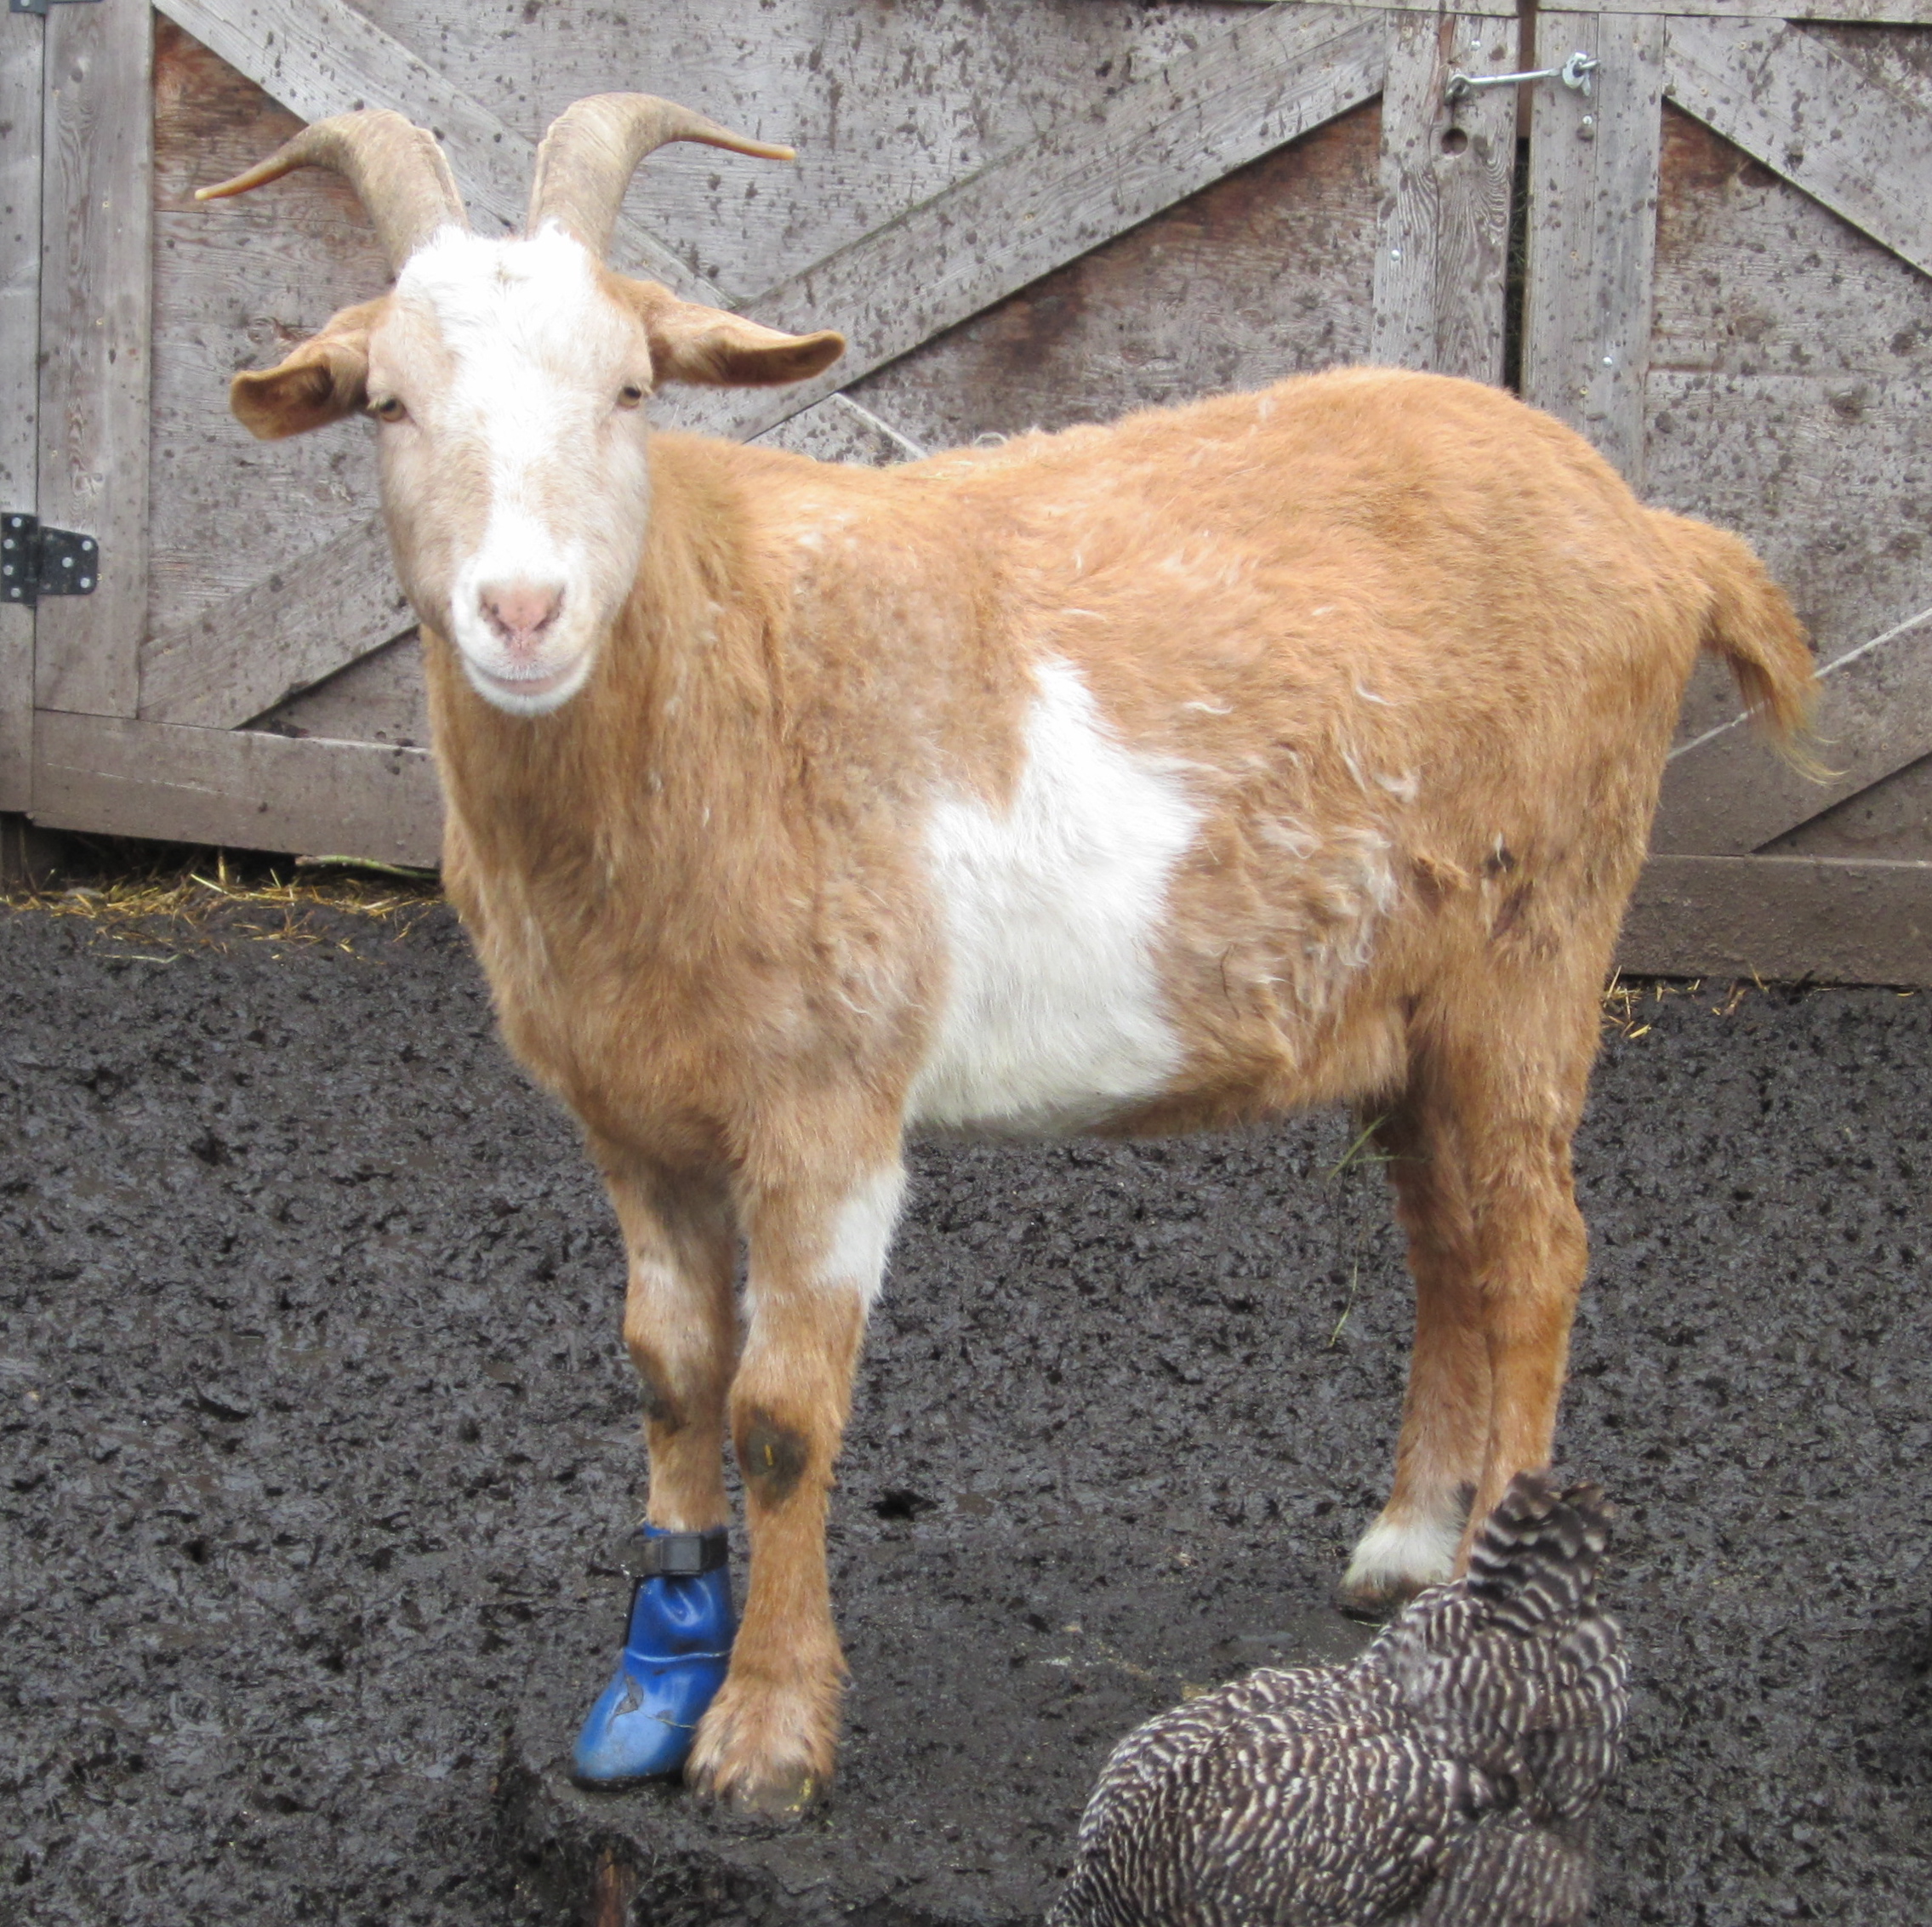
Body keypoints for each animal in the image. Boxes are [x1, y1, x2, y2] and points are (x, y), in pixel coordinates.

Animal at [201, 96, 1814, 1818]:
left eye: (629, 388)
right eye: (387, 403)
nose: (520, 610)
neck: (719, 664)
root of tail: (1654, 536)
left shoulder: (828, 1110)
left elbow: (778, 1414)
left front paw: (766, 1736)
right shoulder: (633, 1124)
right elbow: (667, 1371)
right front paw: (651, 1690)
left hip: (1540, 950)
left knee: (1537, 1255)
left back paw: (1497, 1610)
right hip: (1406, 1004)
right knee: (1448, 1244)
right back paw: (1406, 1547)